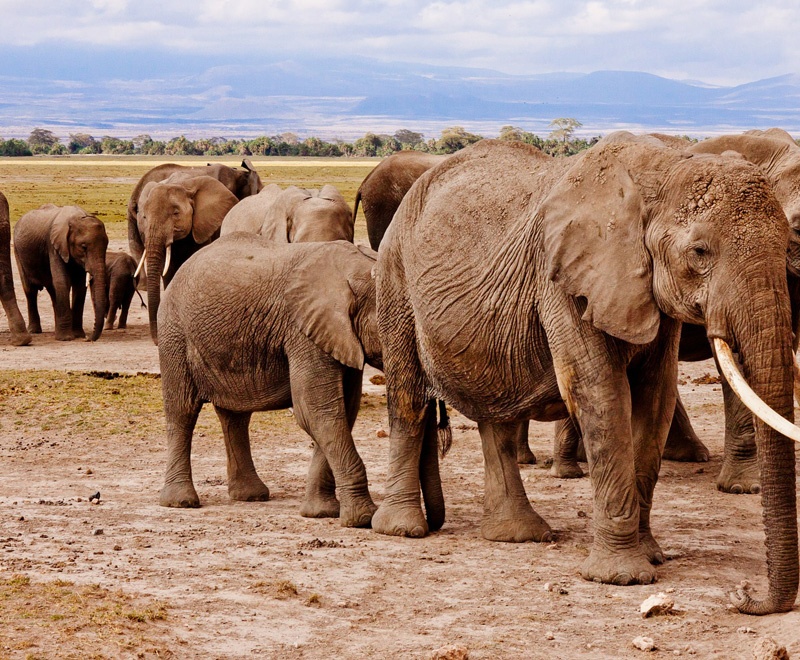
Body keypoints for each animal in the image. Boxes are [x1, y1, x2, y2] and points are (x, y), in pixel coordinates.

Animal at [14, 205, 109, 342]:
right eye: (83, 247)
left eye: (106, 246)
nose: (88, 338)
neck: (76, 217)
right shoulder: (54, 246)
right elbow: (62, 281)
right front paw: (66, 338)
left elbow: (80, 286)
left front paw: (77, 335)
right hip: (18, 252)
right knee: (30, 290)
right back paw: (35, 331)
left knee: (52, 290)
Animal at [134, 173, 239, 343]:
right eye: (144, 216)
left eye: (176, 213)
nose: (156, 340)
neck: (183, 185)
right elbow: (168, 272)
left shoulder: (203, 227)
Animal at [157, 234, 382, 528]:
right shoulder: (303, 332)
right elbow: (317, 410)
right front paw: (364, 519)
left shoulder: (340, 337)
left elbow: (341, 411)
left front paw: (320, 513)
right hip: (174, 332)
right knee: (182, 410)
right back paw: (181, 502)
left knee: (235, 417)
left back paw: (250, 496)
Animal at [373, 134, 800, 615]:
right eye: (699, 253)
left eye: (787, 244)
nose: (744, 594)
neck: (662, 169)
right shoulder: (563, 279)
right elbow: (602, 393)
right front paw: (622, 577)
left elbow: (655, 399)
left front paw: (650, 555)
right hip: (394, 278)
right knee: (408, 397)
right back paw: (402, 529)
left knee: (495, 416)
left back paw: (516, 535)